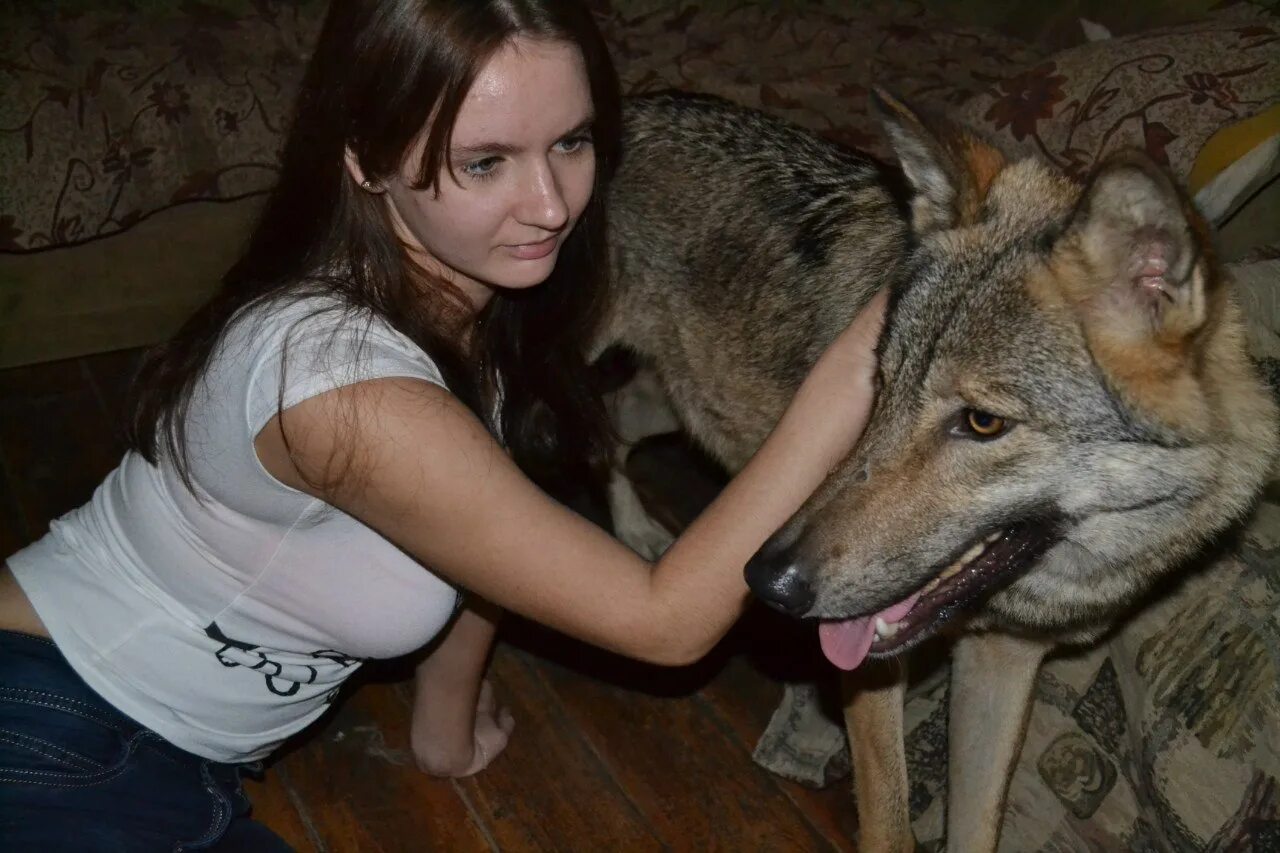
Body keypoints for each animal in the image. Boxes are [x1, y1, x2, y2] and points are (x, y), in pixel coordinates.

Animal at [594, 90, 1280, 852]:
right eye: (879, 385)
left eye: (981, 422)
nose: (765, 582)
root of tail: (630, 105)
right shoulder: (869, 669)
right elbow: (891, 827)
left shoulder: (1003, 663)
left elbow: (978, 826)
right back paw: (631, 531)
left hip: (675, 404)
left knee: (612, 418)